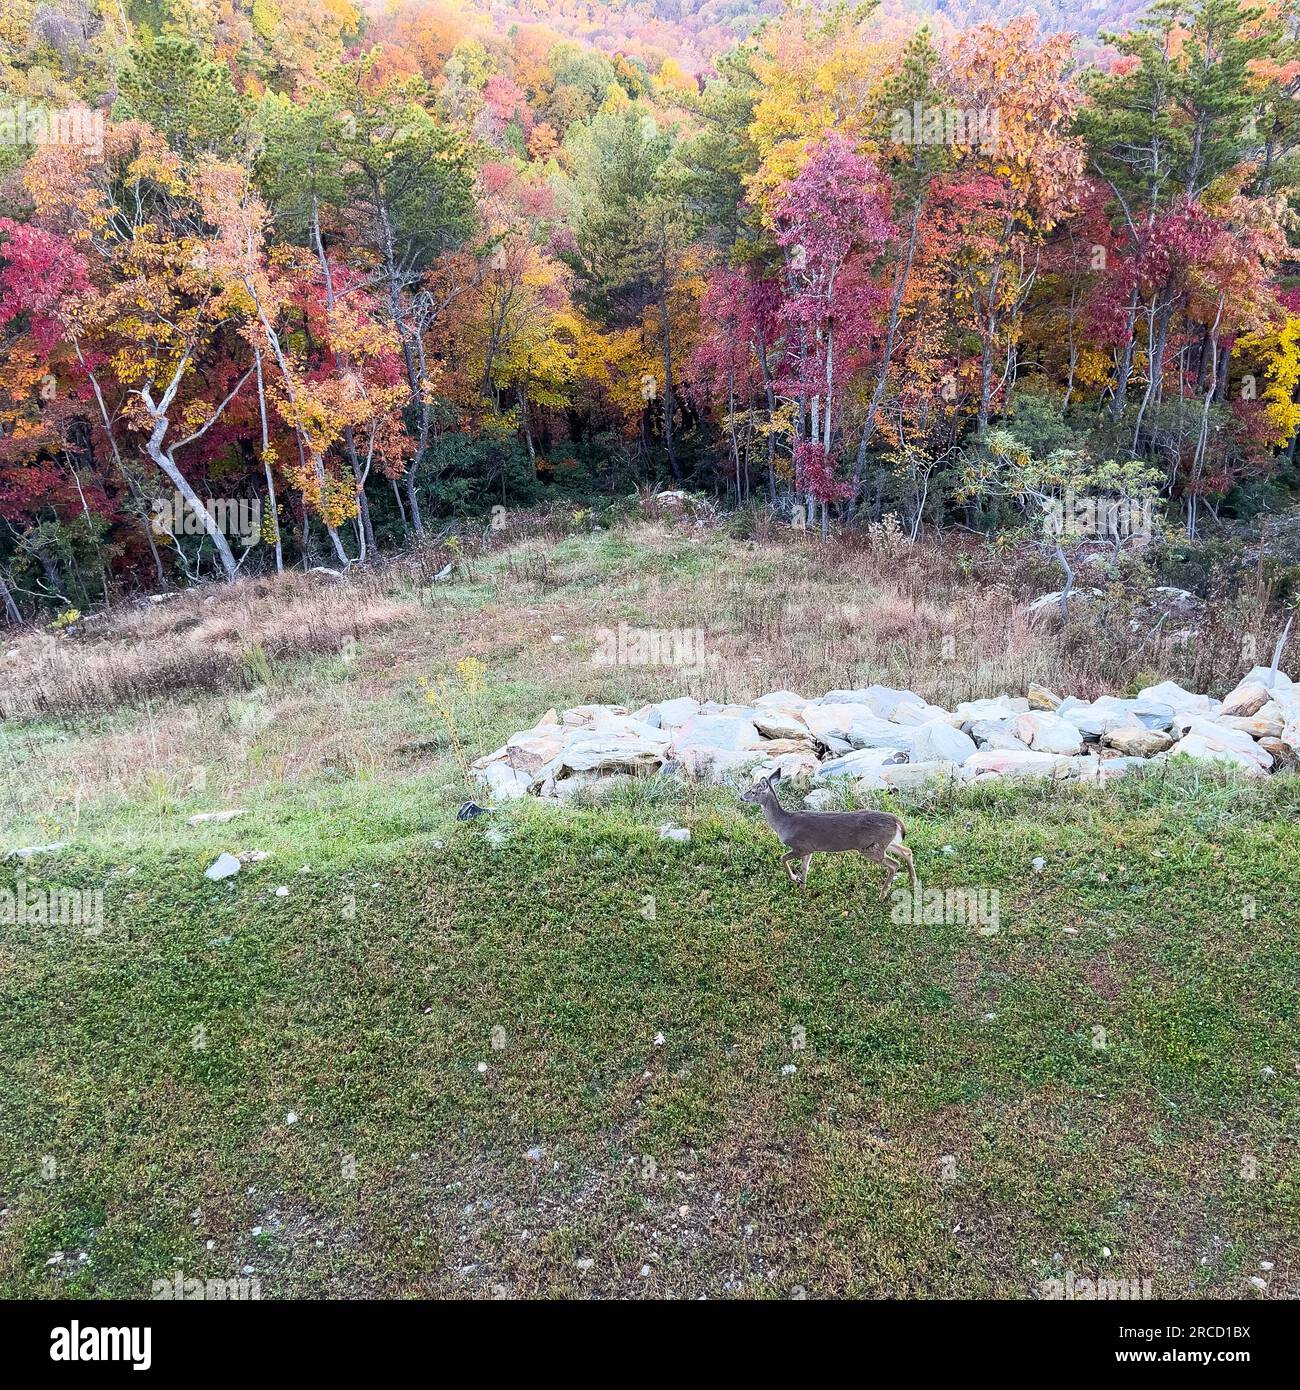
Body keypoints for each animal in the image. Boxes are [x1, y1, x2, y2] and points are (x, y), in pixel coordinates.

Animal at [741, 771, 917, 901]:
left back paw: (882, 895)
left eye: (753, 791)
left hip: (871, 848)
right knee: (907, 851)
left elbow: (782, 858)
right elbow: (804, 867)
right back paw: (913, 882)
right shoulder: (810, 849)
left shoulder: (801, 846)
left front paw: (795, 879)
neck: (783, 824)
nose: (741, 797)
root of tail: (897, 821)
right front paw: (802, 886)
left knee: (894, 863)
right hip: (884, 843)